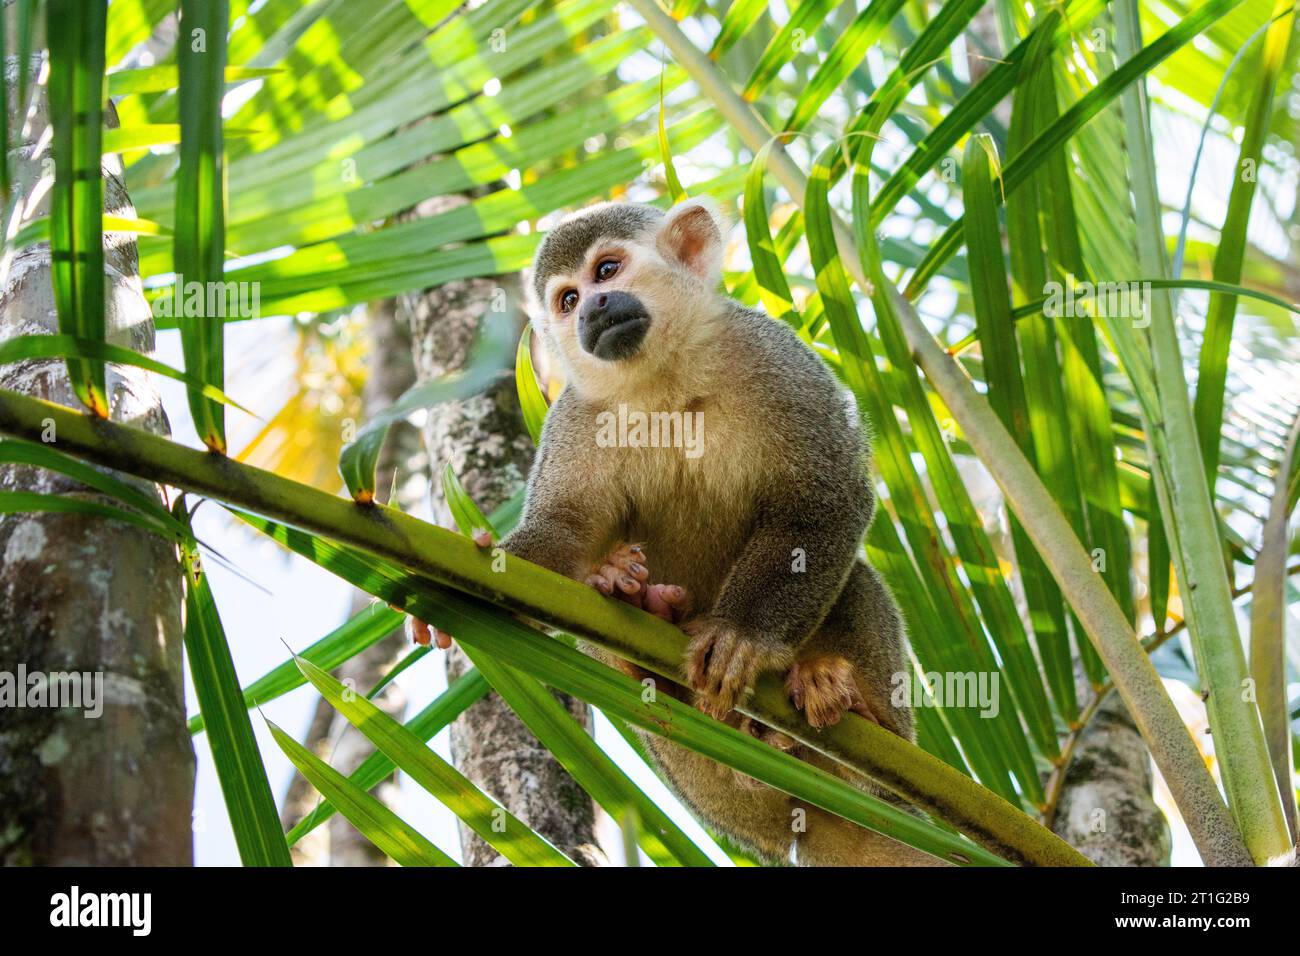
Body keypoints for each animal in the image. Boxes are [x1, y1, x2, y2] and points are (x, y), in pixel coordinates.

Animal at [416, 197, 935, 863]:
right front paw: (481, 571)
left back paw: (850, 709)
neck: (665, 381)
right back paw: (639, 616)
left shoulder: (773, 355)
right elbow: (564, 532)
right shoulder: (577, 413)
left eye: (607, 270)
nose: (592, 308)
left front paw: (743, 635)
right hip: (700, 783)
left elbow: (827, 496)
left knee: (855, 581)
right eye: (566, 299)